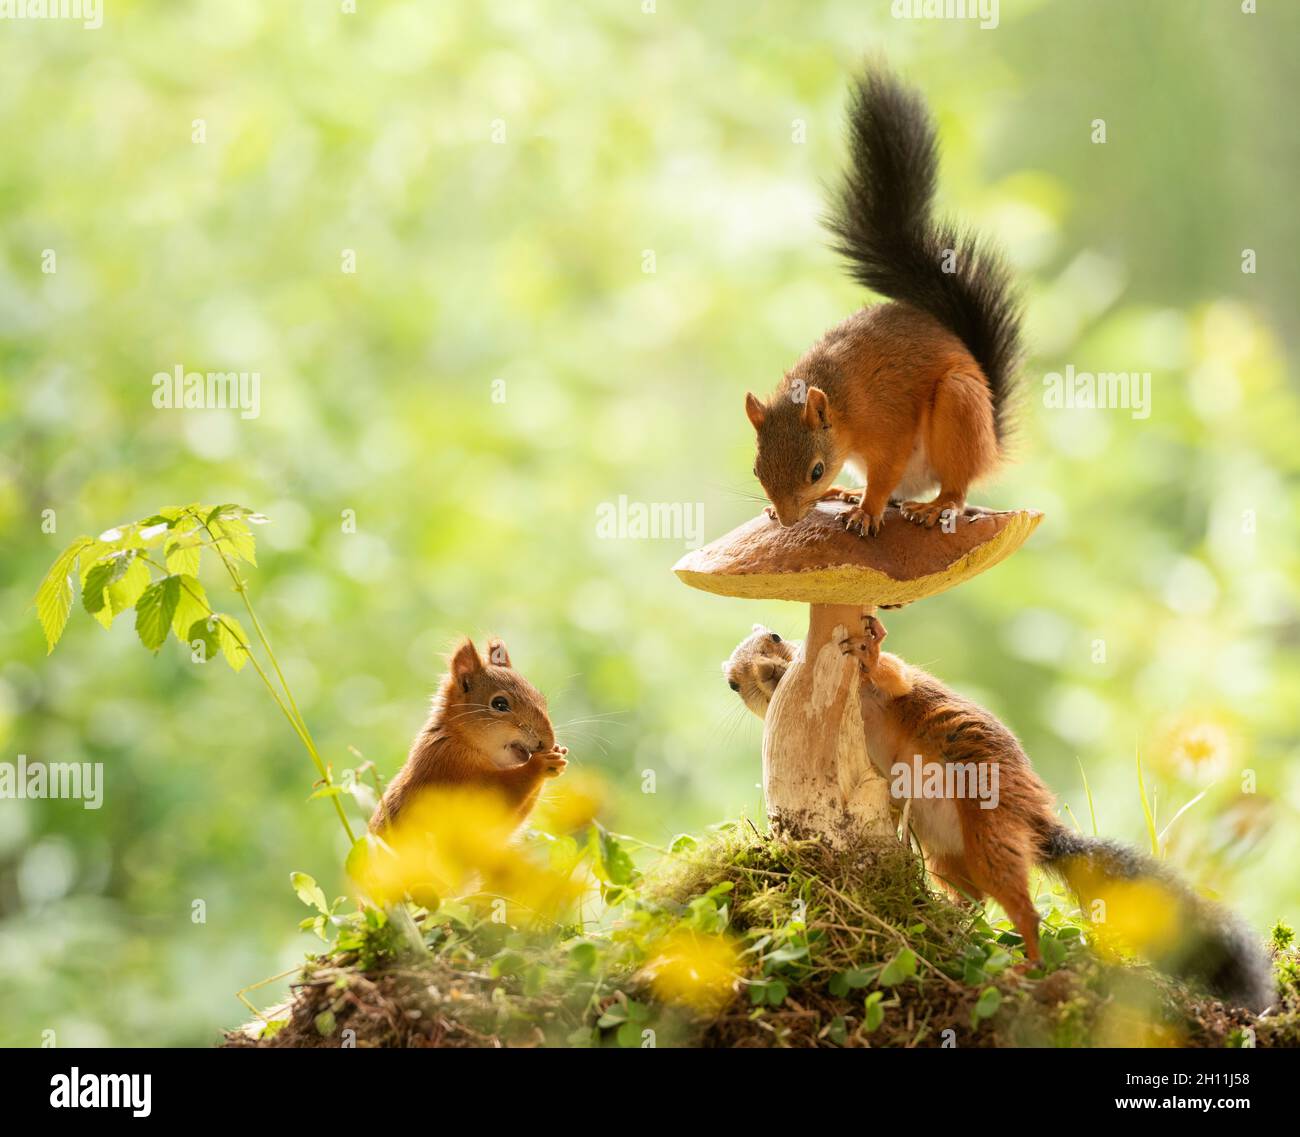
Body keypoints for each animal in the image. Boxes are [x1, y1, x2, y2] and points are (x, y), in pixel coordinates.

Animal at [370, 636, 567, 833]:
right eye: (500, 704)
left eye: (541, 698)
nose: (548, 742)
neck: (462, 739)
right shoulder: (449, 765)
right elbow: (495, 795)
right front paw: (540, 764)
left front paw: (558, 754)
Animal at [725, 618, 1275, 1012]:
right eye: (732, 684)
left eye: (776, 636)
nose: (762, 674)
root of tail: (1035, 826)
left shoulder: (891, 687)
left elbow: (891, 676)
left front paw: (870, 645)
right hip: (947, 859)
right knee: (974, 901)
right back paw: (952, 920)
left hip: (990, 829)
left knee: (1024, 910)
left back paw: (1027, 964)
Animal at [745, 65, 1023, 537]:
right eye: (756, 470)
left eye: (816, 471)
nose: (786, 519)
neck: (841, 402)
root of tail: (990, 446)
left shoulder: (889, 426)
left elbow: (885, 472)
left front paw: (866, 513)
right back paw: (849, 491)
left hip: (960, 406)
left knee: (953, 486)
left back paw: (933, 505)